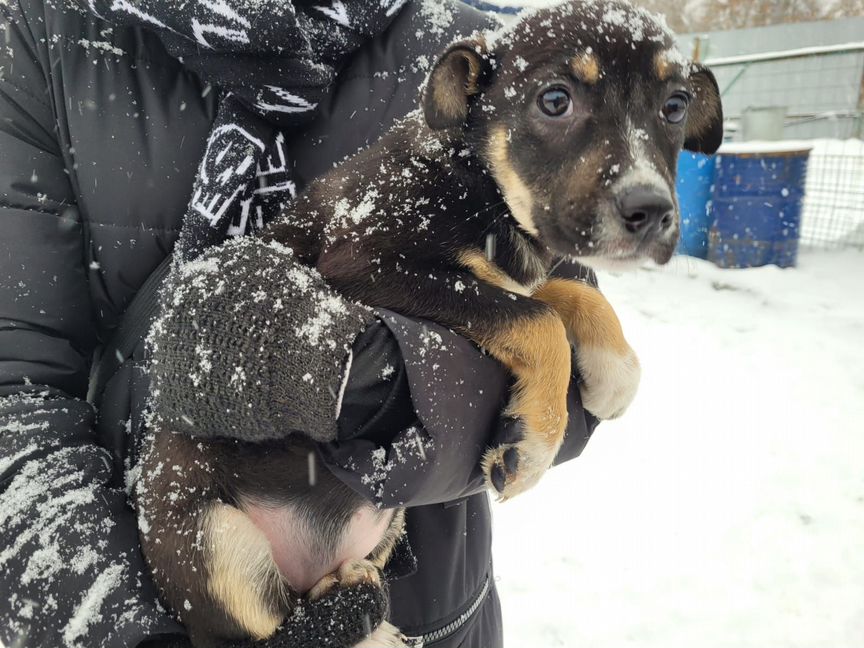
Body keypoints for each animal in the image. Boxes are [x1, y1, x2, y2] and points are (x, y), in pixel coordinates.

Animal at [140, 0, 724, 644]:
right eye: (554, 100)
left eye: (675, 106)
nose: (650, 211)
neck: (474, 178)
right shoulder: (369, 266)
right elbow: (537, 318)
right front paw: (529, 448)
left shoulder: (500, 267)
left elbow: (561, 293)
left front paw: (615, 370)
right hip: (209, 538)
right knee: (259, 631)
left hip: (377, 531)